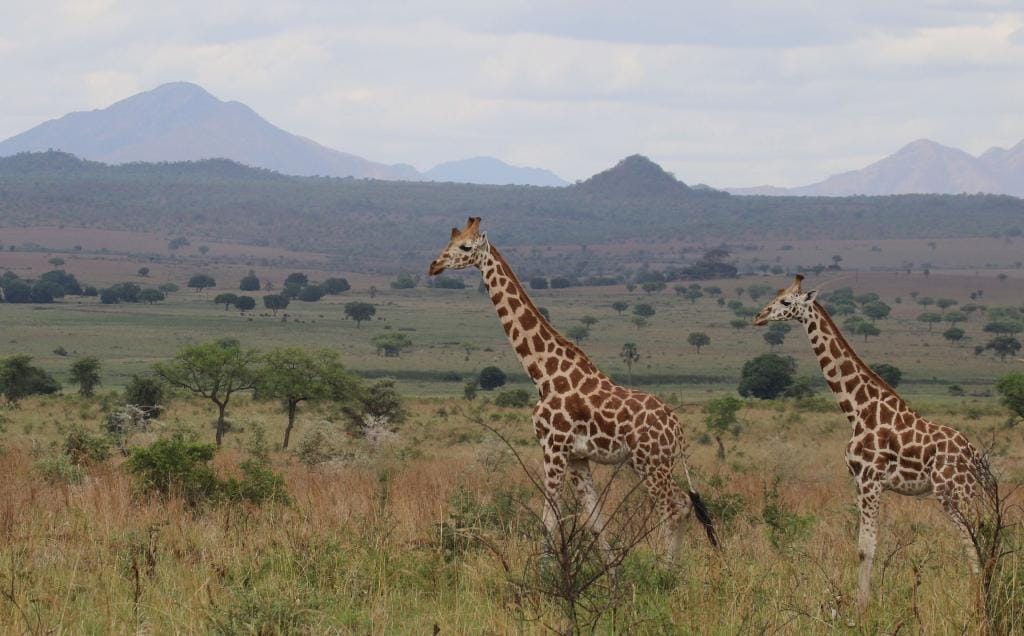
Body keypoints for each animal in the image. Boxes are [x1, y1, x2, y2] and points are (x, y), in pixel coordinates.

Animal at [429, 217, 717, 557]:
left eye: (465, 247)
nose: (434, 265)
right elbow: (595, 522)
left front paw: (541, 570)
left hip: (651, 462)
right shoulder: (578, 457)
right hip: (656, 462)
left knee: (673, 507)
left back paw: (664, 566)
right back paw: (673, 565)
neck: (543, 374)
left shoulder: (554, 447)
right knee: (683, 504)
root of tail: (678, 429)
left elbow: (549, 519)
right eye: (448, 243)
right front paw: (611, 570)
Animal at [753, 275, 994, 609]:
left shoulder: (870, 480)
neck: (858, 410)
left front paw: (862, 609)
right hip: (967, 494)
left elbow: (865, 548)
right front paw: (863, 604)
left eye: (786, 302)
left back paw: (979, 606)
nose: (759, 317)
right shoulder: (858, 482)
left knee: (973, 543)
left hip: (955, 493)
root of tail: (975, 457)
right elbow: (865, 546)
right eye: (776, 295)